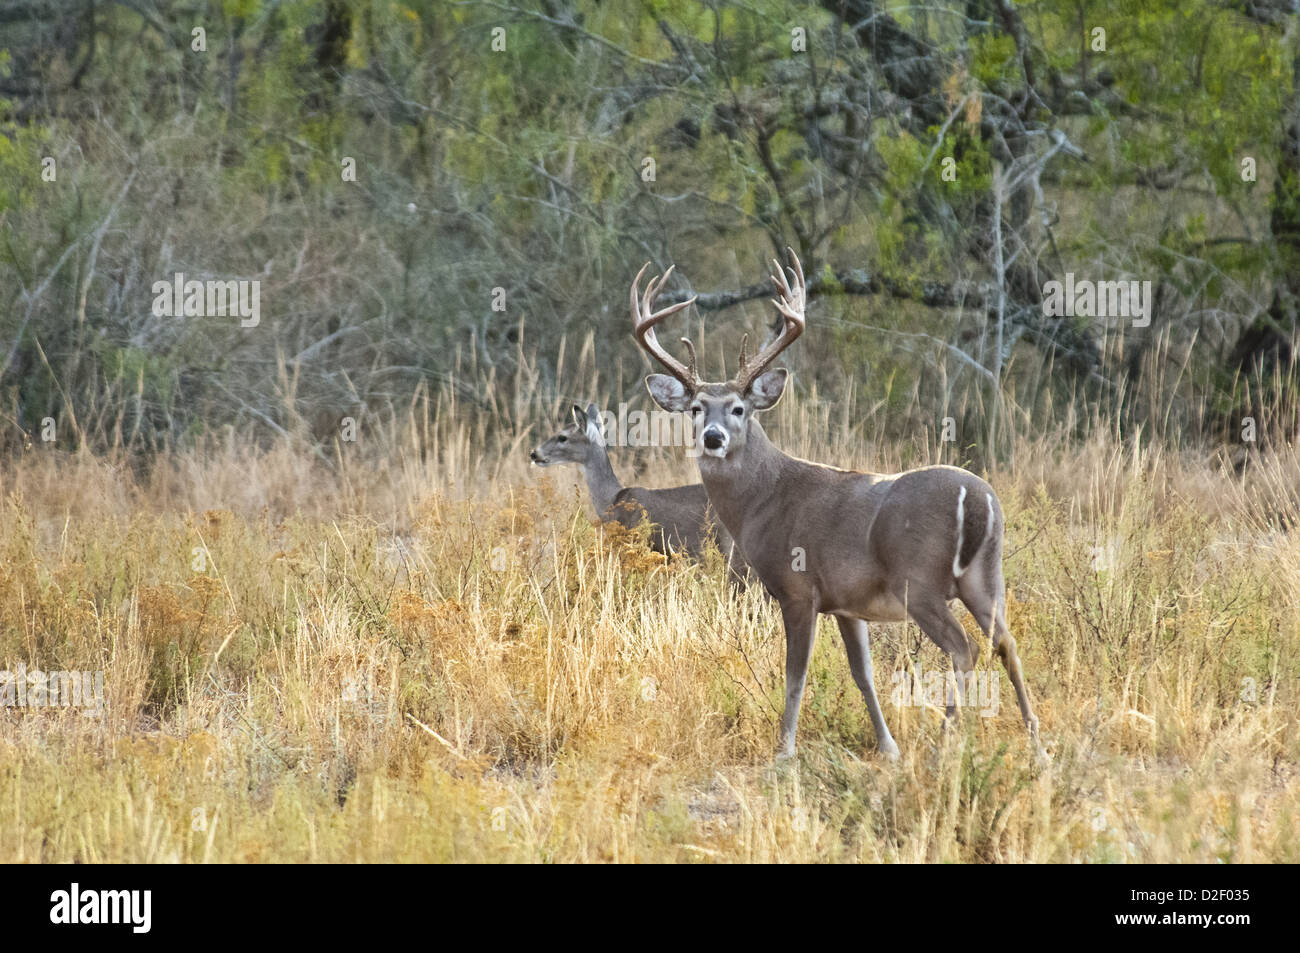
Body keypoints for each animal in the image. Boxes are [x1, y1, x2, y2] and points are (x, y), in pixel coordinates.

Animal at [631, 252, 1043, 763]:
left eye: (739, 408)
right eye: (695, 408)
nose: (713, 437)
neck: (764, 501)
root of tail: (981, 500)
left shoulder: (797, 589)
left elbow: (795, 674)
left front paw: (784, 751)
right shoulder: (848, 604)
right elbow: (862, 674)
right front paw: (888, 747)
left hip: (921, 582)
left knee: (964, 648)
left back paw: (944, 741)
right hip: (986, 577)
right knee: (1007, 643)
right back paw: (1037, 745)